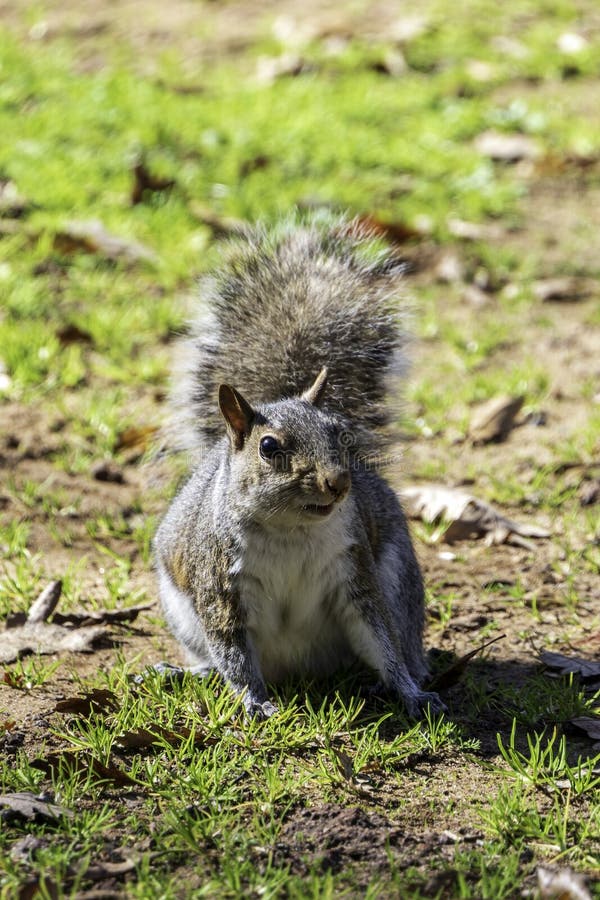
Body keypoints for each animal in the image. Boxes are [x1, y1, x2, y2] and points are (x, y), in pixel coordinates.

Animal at [153, 215, 444, 719]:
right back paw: (191, 672)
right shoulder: (218, 583)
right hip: (183, 614)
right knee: (215, 658)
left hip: (399, 582)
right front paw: (253, 702)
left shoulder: (355, 570)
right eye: (269, 447)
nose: (339, 482)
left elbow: (379, 634)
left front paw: (408, 692)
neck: (291, 530)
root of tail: (297, 672)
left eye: (339, 431)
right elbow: (232, 651)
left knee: (397, 640)